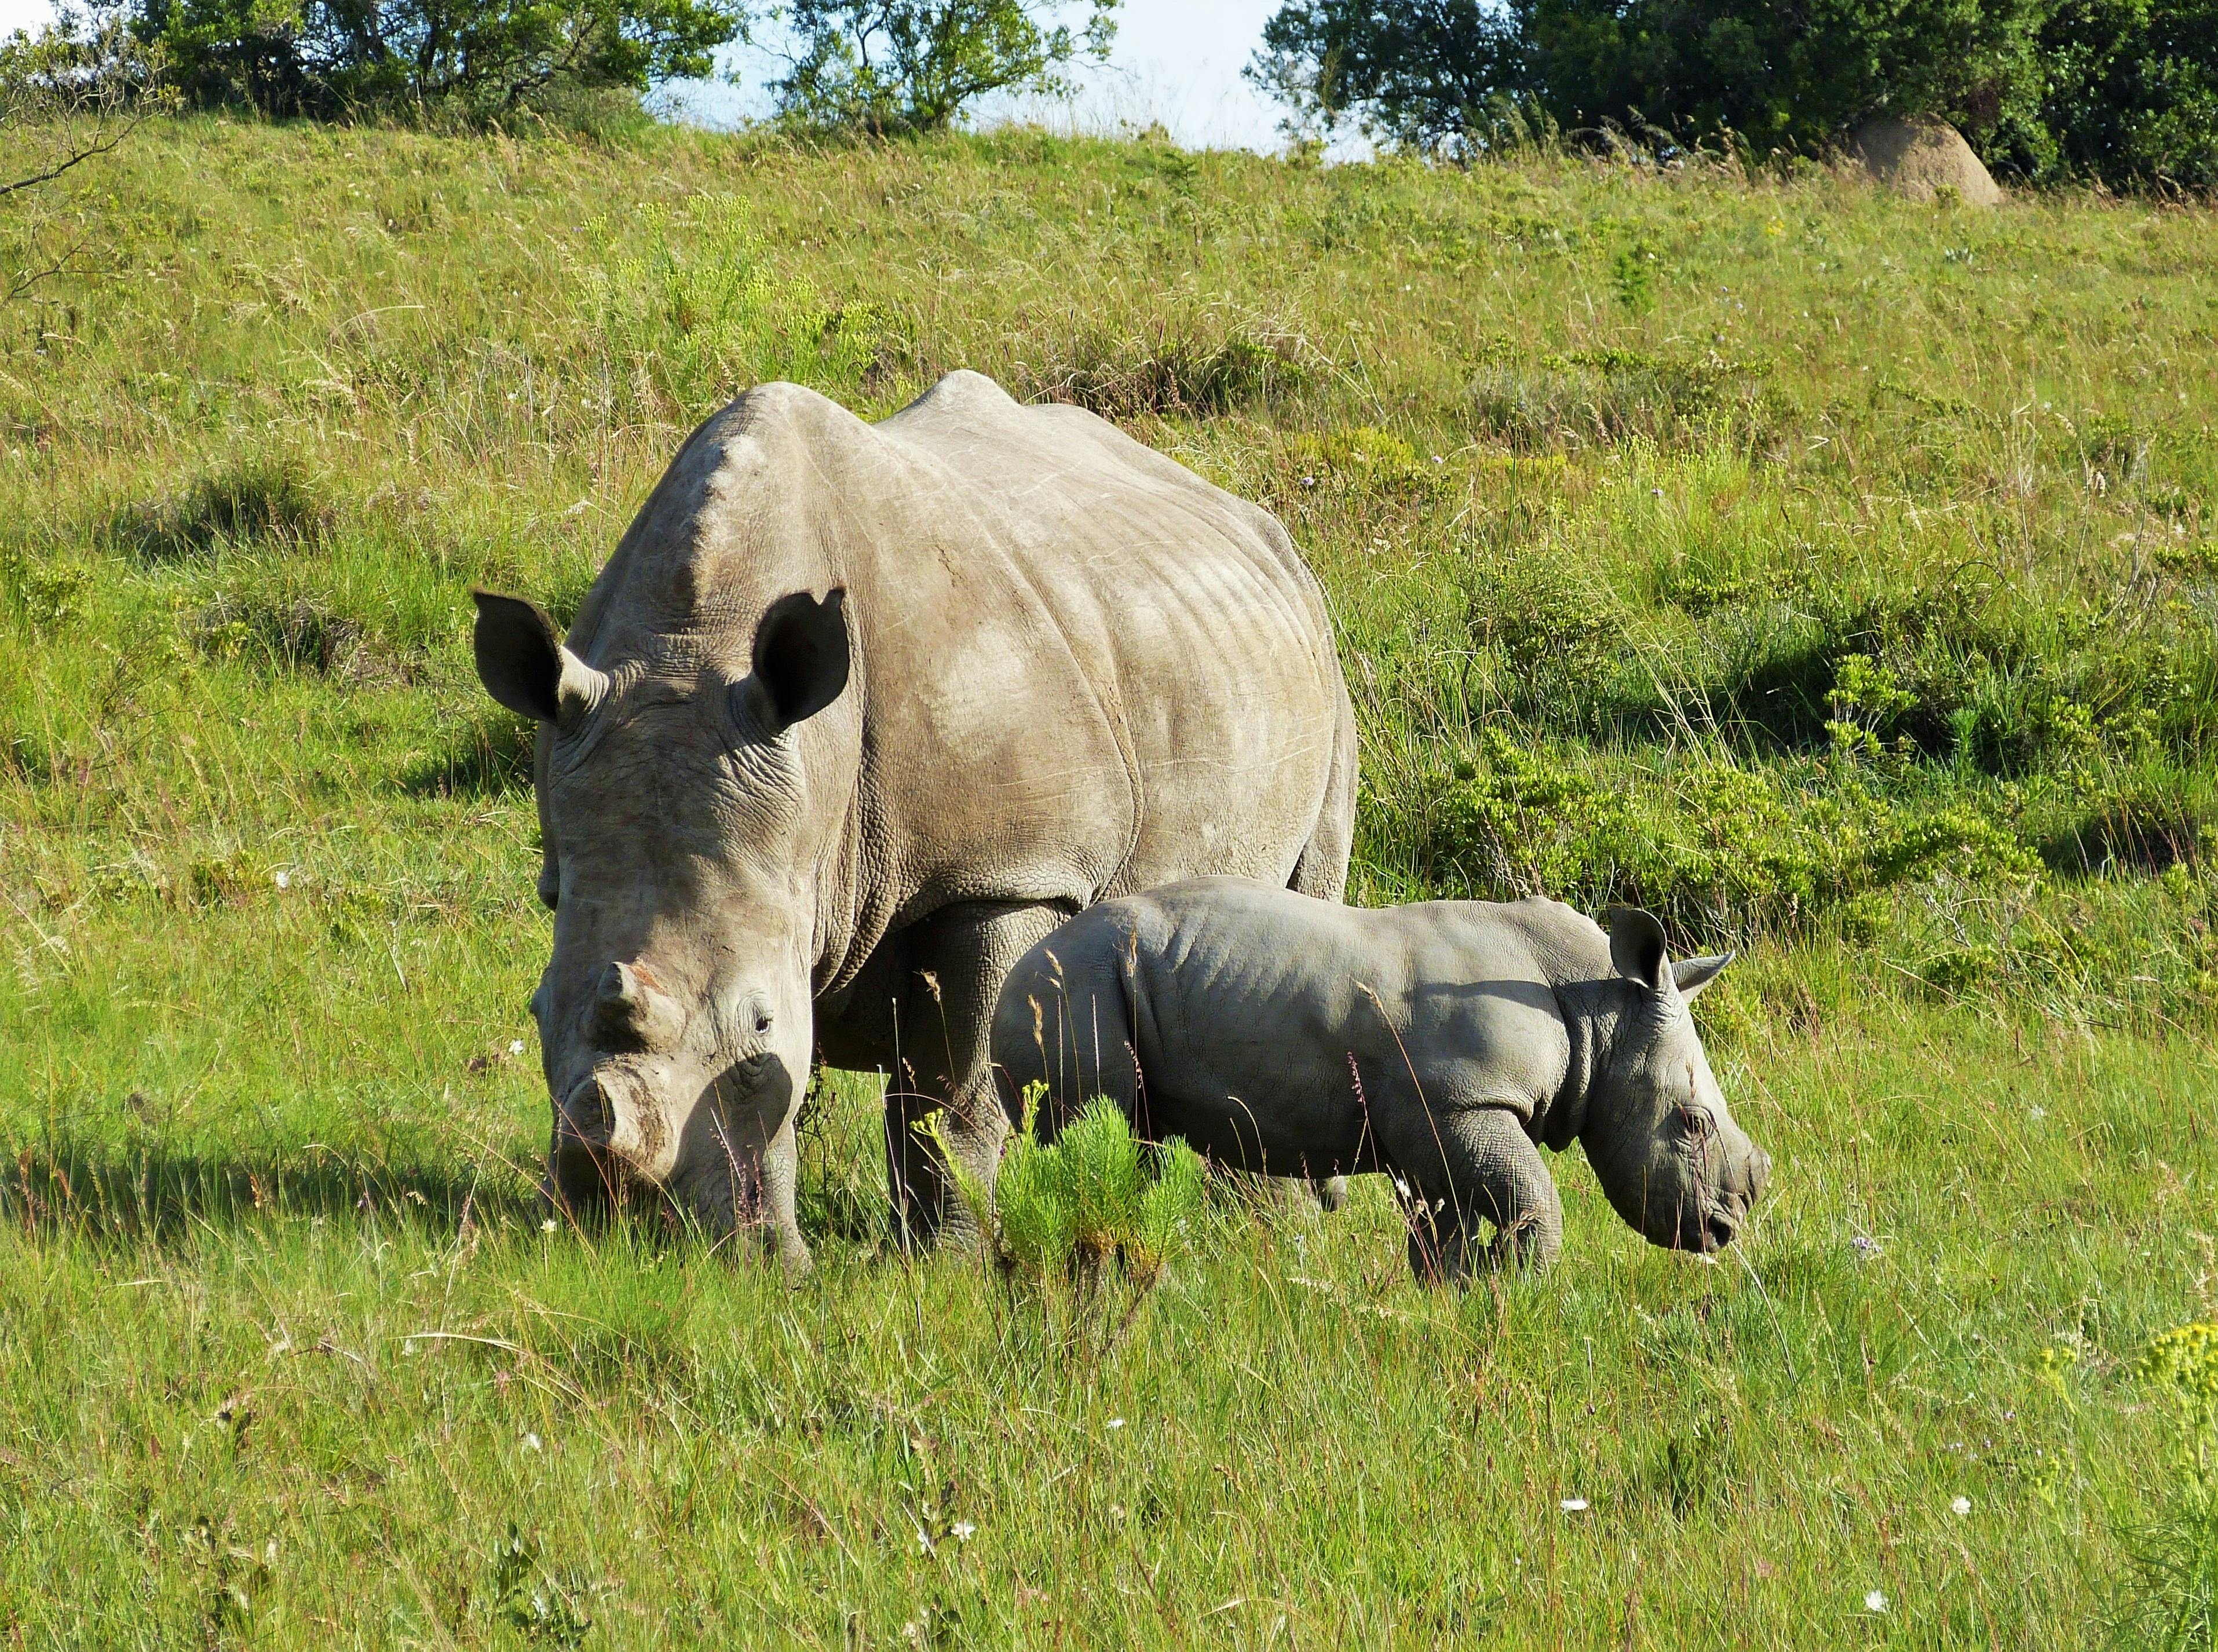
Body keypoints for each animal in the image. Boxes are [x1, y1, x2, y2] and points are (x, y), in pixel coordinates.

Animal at [470, 372, 1355, 1271]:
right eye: (535, 1011)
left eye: (760, 1024)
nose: (626, 1239)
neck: (694, 647)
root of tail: (1247, 517)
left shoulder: (1004, 872)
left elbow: (951, 1092)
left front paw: (941, 1265)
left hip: (1320, 647)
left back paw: (1271, 1236)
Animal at [990, 880, 1770, 1278]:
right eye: (1690, 1124)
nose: (1723, 1228)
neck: (1597, 1005)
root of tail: (1016, 968)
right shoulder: (1462, 1100)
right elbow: (1535, 1196)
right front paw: (1515, 1279)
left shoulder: (1437, 1121)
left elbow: (1445, 1224)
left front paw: (1462, 1285)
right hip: (1071, 990)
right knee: (1096, 1141)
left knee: (1133, 1147)